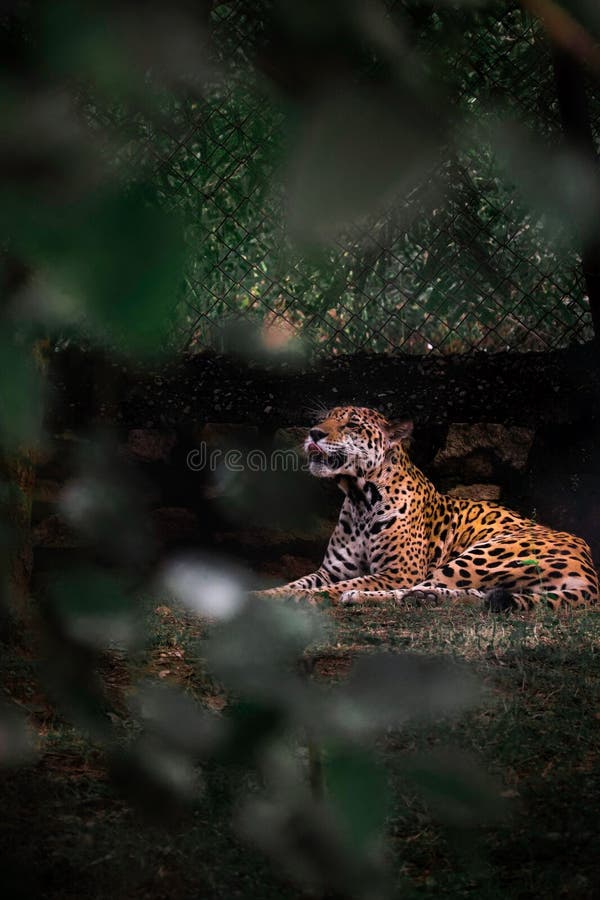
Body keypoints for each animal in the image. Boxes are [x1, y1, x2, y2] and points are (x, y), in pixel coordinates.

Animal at [257, 405, 599, 611]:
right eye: (323, 418)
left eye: (352, 424)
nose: (314, 433)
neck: (358, 499)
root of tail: (589, 571)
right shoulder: (330, 570)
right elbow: (296, 581)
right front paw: (262, 595)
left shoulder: (399, 571)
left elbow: (339, 584)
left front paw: (305, 597)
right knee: (470, 594)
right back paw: (428, 597)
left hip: (485, 553)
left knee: (410, 587)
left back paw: (367, 597)